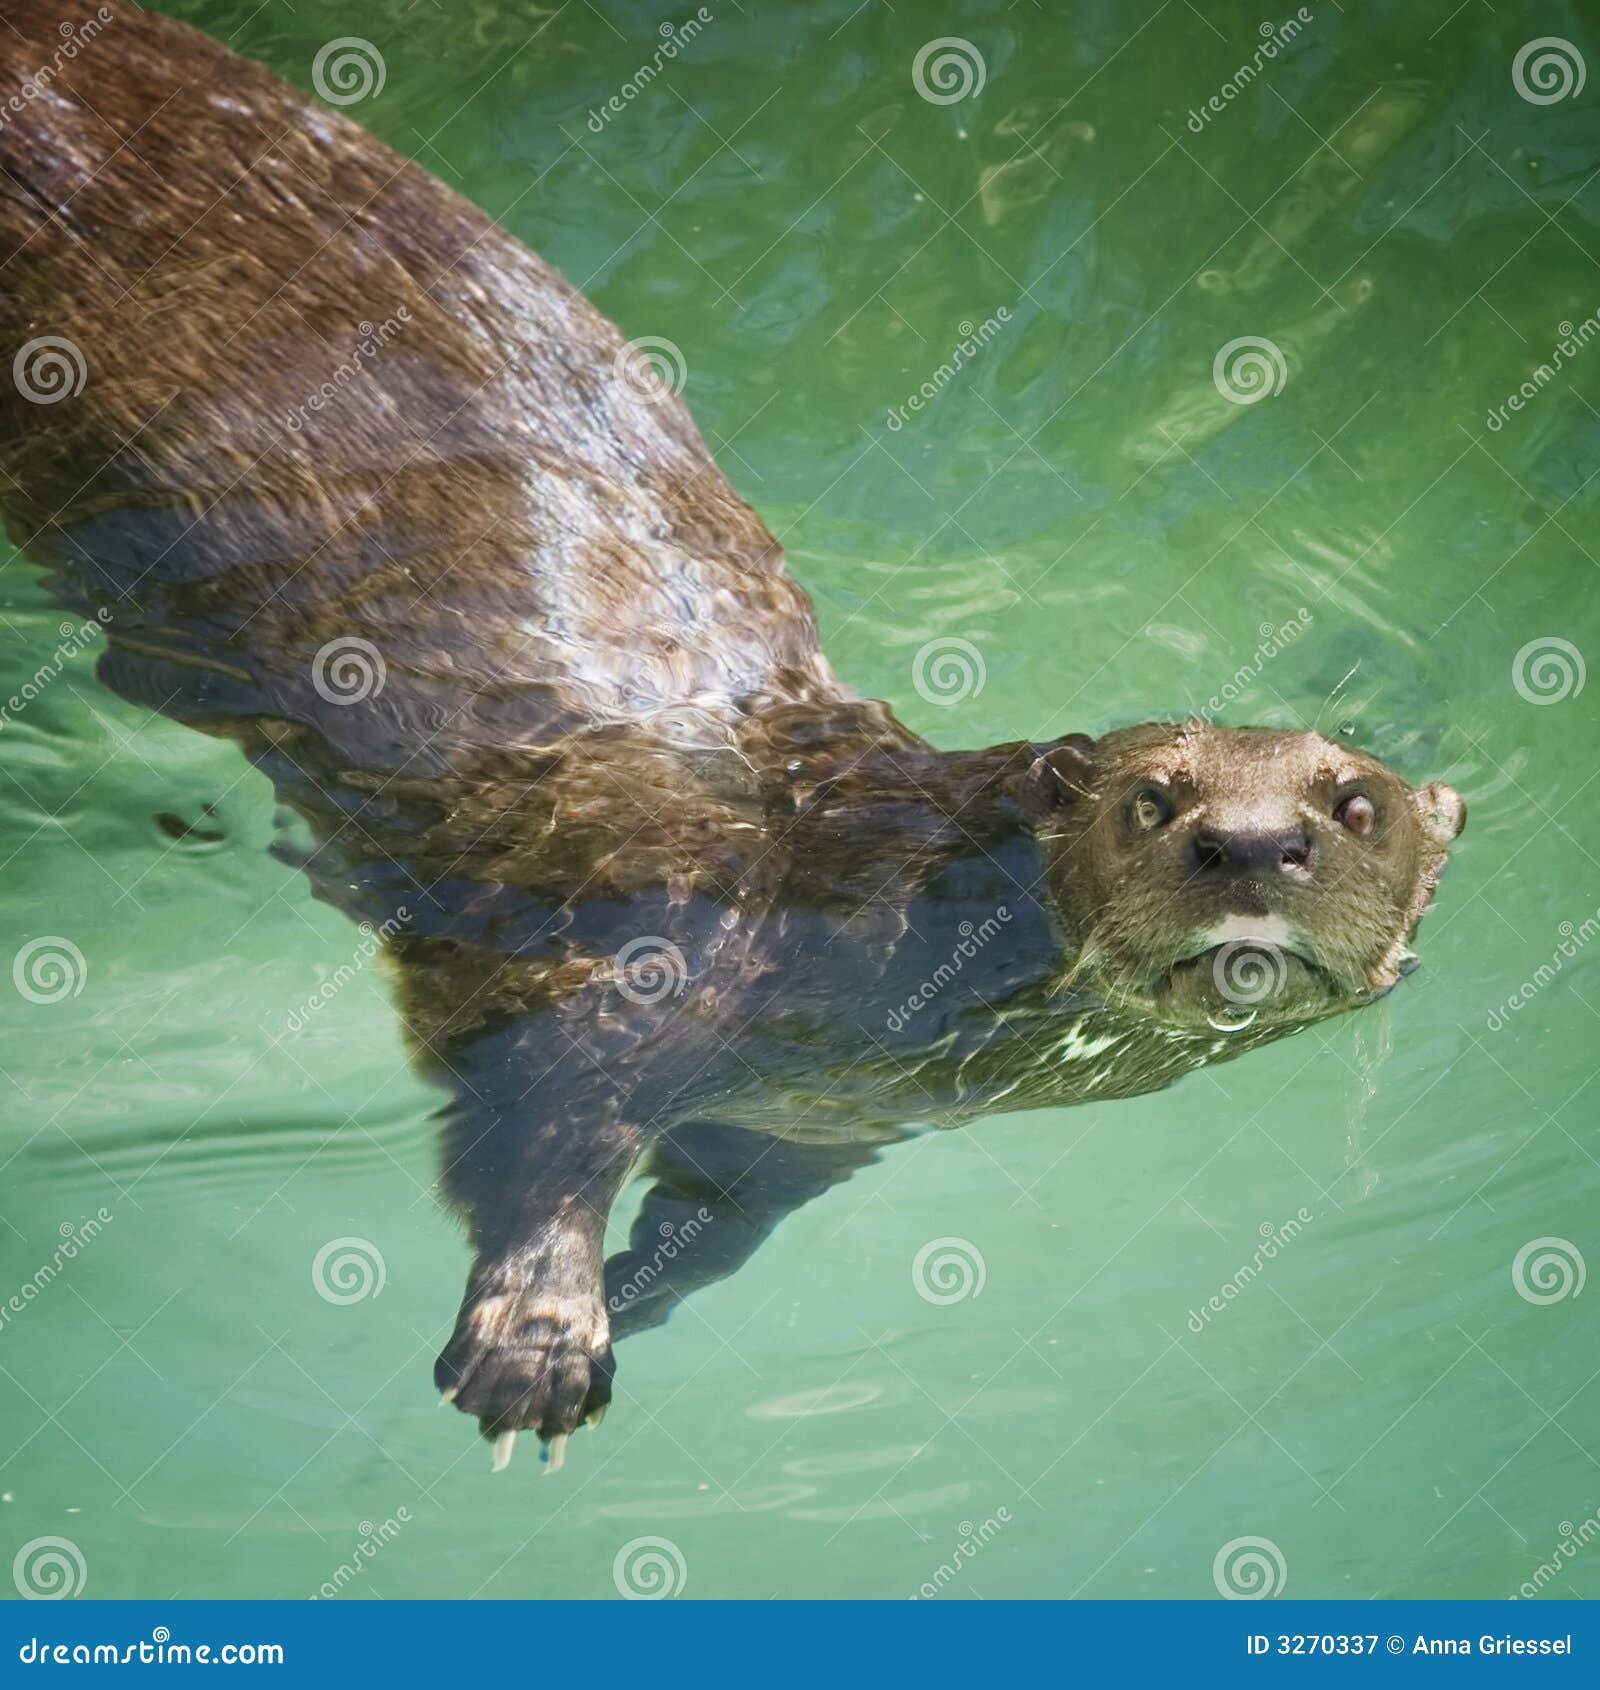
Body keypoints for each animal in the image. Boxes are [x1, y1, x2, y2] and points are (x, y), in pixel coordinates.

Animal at [0, 1, 1464, 1470]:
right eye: (1154, 797)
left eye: (1354, 803)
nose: (1253, 845)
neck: (848, 909)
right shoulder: (628, 959)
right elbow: (539, 1124)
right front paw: (539, 1336)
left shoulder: (813, 1125)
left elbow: (725, 1203)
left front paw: (644, 1290)